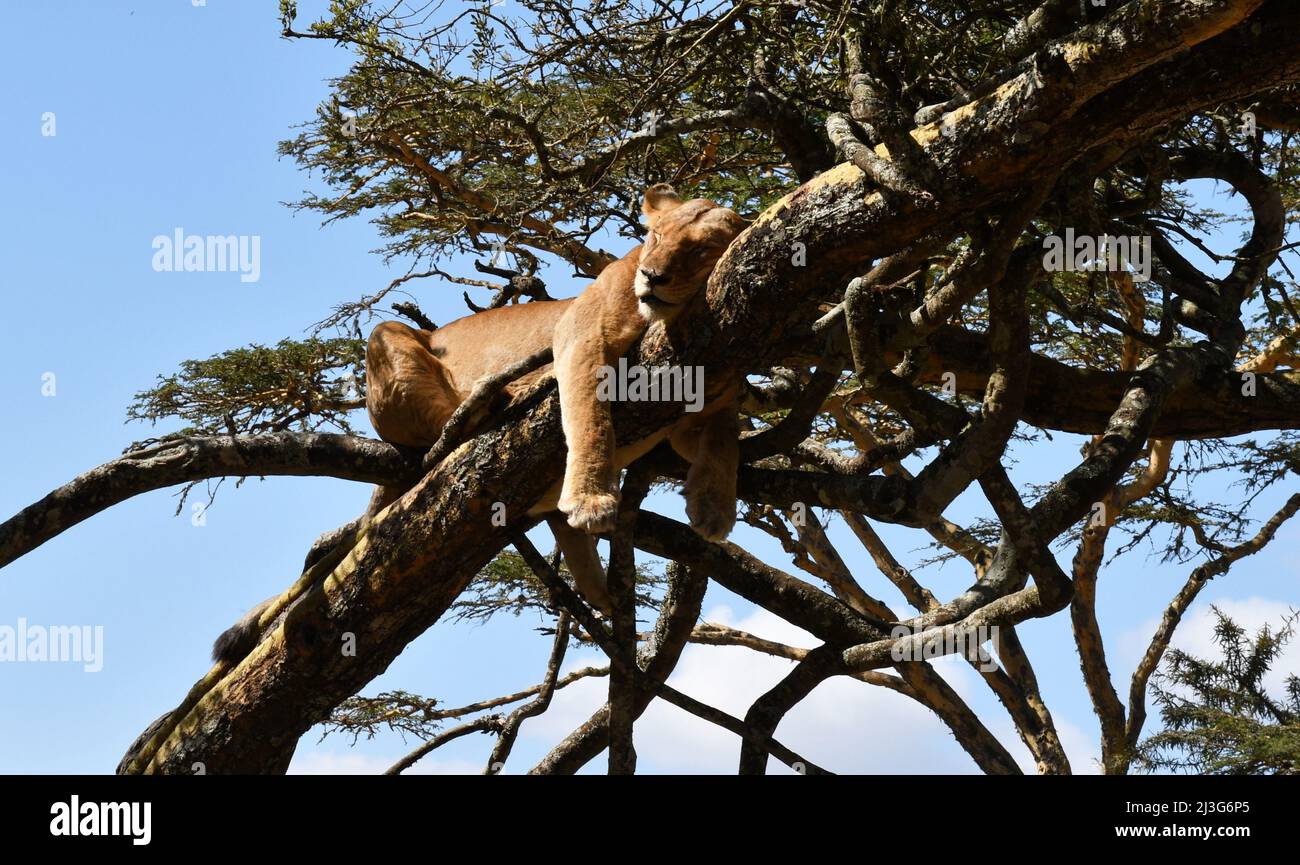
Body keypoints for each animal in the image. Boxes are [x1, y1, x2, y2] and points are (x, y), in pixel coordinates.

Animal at [211, 184, 746, 663]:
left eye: (700, 250)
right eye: (654, 238)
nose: (651, 277)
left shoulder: (700, 410)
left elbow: (725, 435)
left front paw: (713, 508)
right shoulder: (579, 335)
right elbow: (590, 418)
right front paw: (593, 499)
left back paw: (602, 592)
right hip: (389, 335)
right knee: (442, 430)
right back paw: (497, 398)